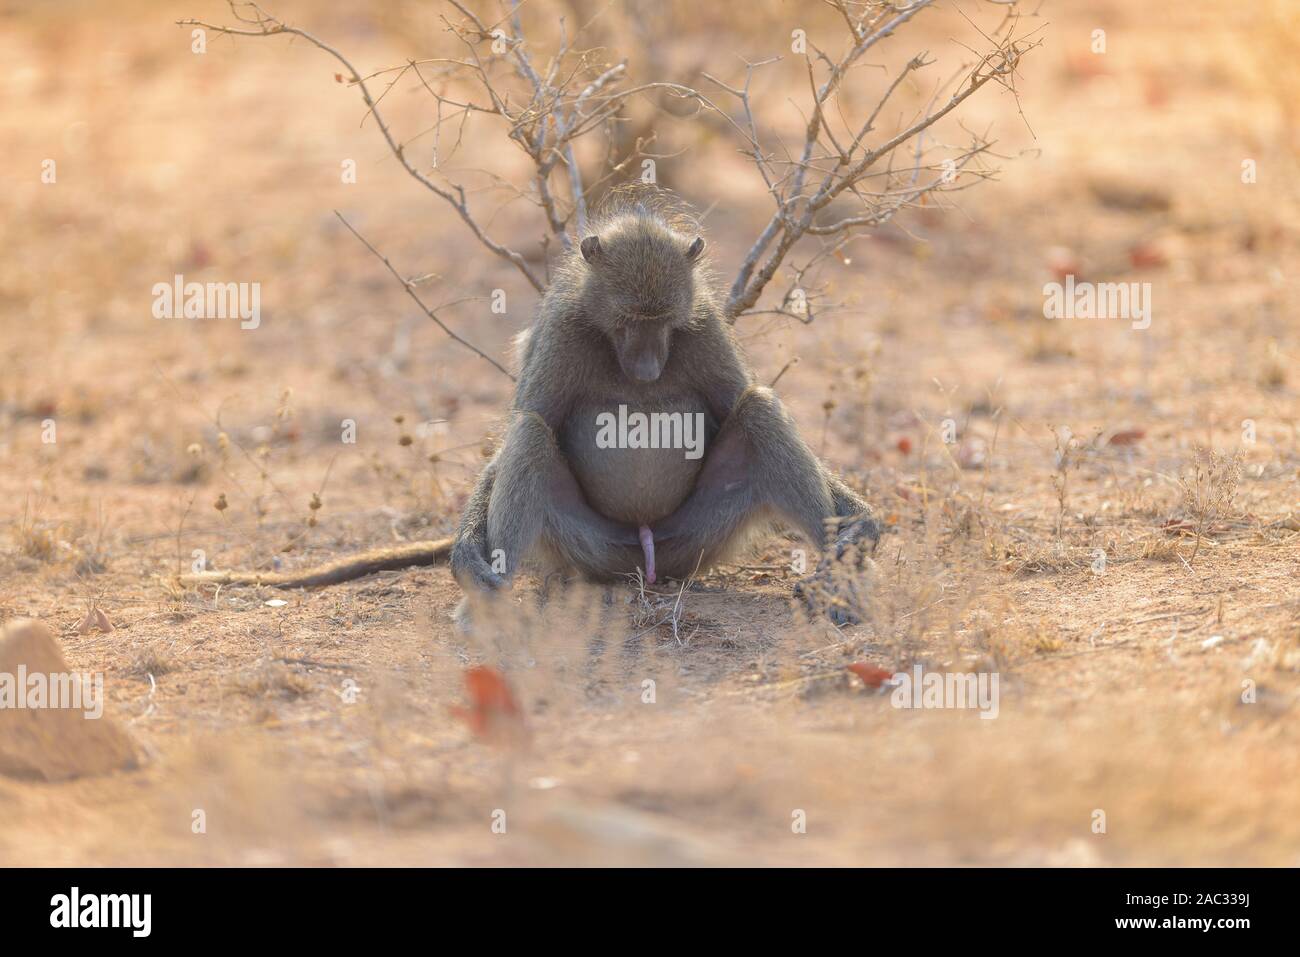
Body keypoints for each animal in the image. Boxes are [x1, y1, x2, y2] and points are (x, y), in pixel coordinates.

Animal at [449, 192, 880, 624]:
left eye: (665, 319)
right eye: (627, 319)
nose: (647, 369)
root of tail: (646, 550)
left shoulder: (706, 325)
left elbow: (737, 401)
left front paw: (861, 524)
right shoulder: (562, 328)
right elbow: (524, 427)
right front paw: (467, 554)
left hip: (695, 539)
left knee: (758, 408)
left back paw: (841, 585)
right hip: (593, 549)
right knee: (531, 430)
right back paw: (483, 611)